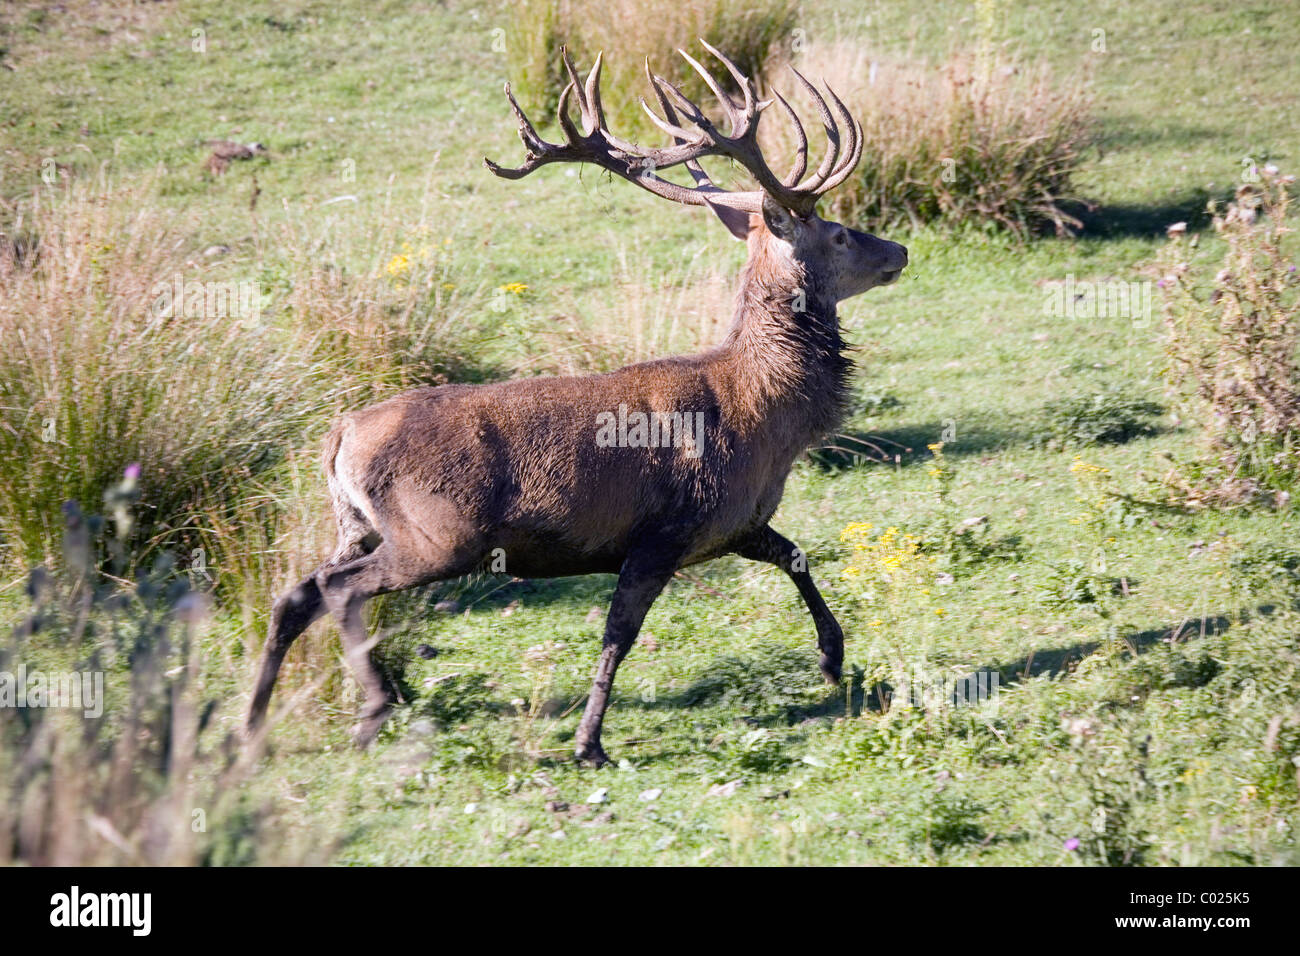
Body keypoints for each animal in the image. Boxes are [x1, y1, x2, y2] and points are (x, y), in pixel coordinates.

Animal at [244, 42, 907, 766]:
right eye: (838, 234)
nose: (899, 250)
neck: (763, 416)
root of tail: (339, 437)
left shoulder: (733, 524)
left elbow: (796, 555)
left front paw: (833, 659)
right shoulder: (664, 531)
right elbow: (619, 635)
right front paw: (589, 742)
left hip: (356, 524)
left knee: (294, 593)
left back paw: (251, 726)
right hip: (438, 535)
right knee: (337, 589)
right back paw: (372, 707)